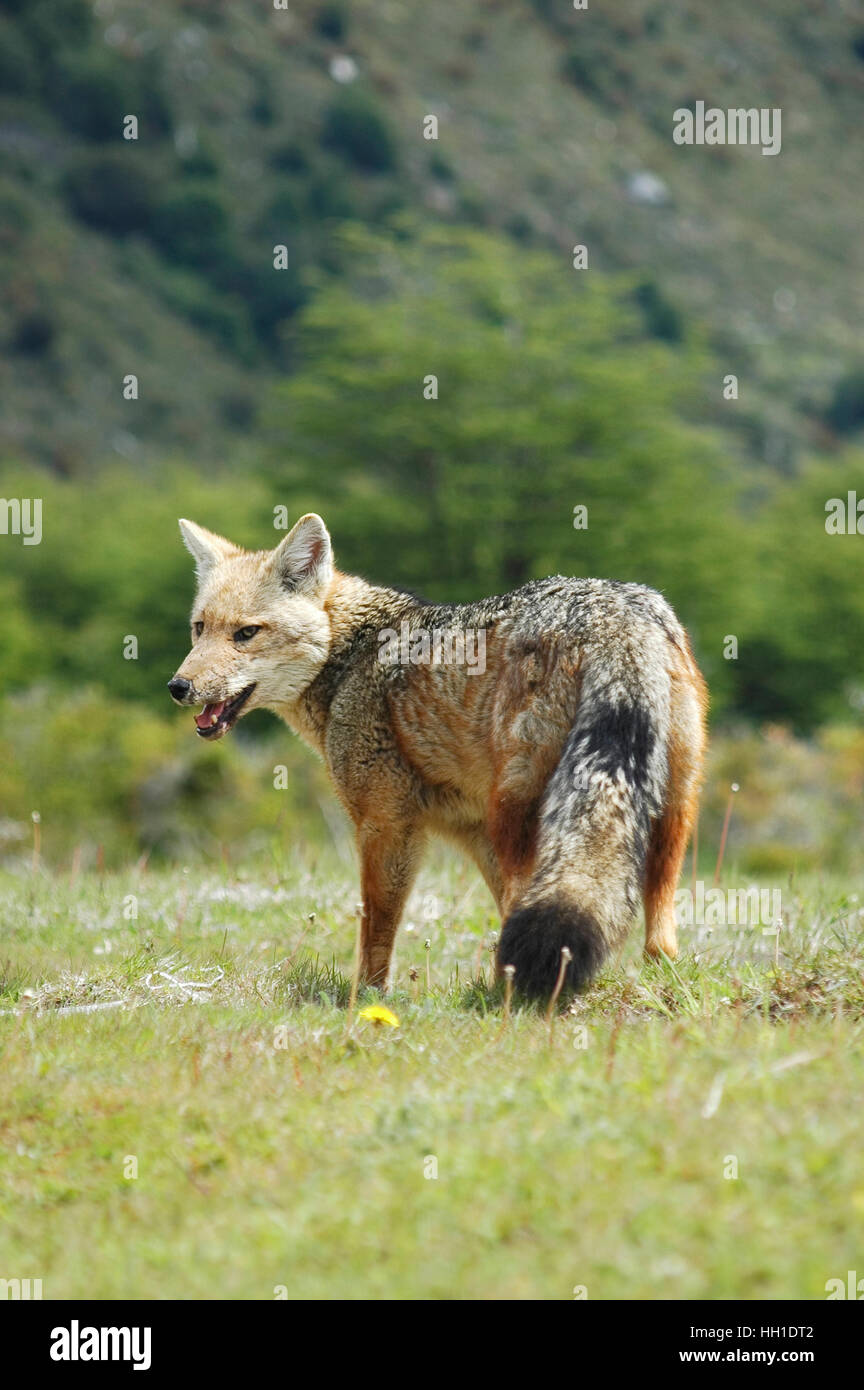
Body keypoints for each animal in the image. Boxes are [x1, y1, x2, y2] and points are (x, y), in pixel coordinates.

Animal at [169, 512, 707, 1000]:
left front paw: (367, 998)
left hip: (520, 815)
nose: (178, 687)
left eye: (246, 633)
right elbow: (507, 911)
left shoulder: (388, 824)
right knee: (657, 931)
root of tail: (612, 614)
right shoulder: (473, 833)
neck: (351, 656)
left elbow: (377, 928)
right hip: (668, 814)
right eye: (199, 628)